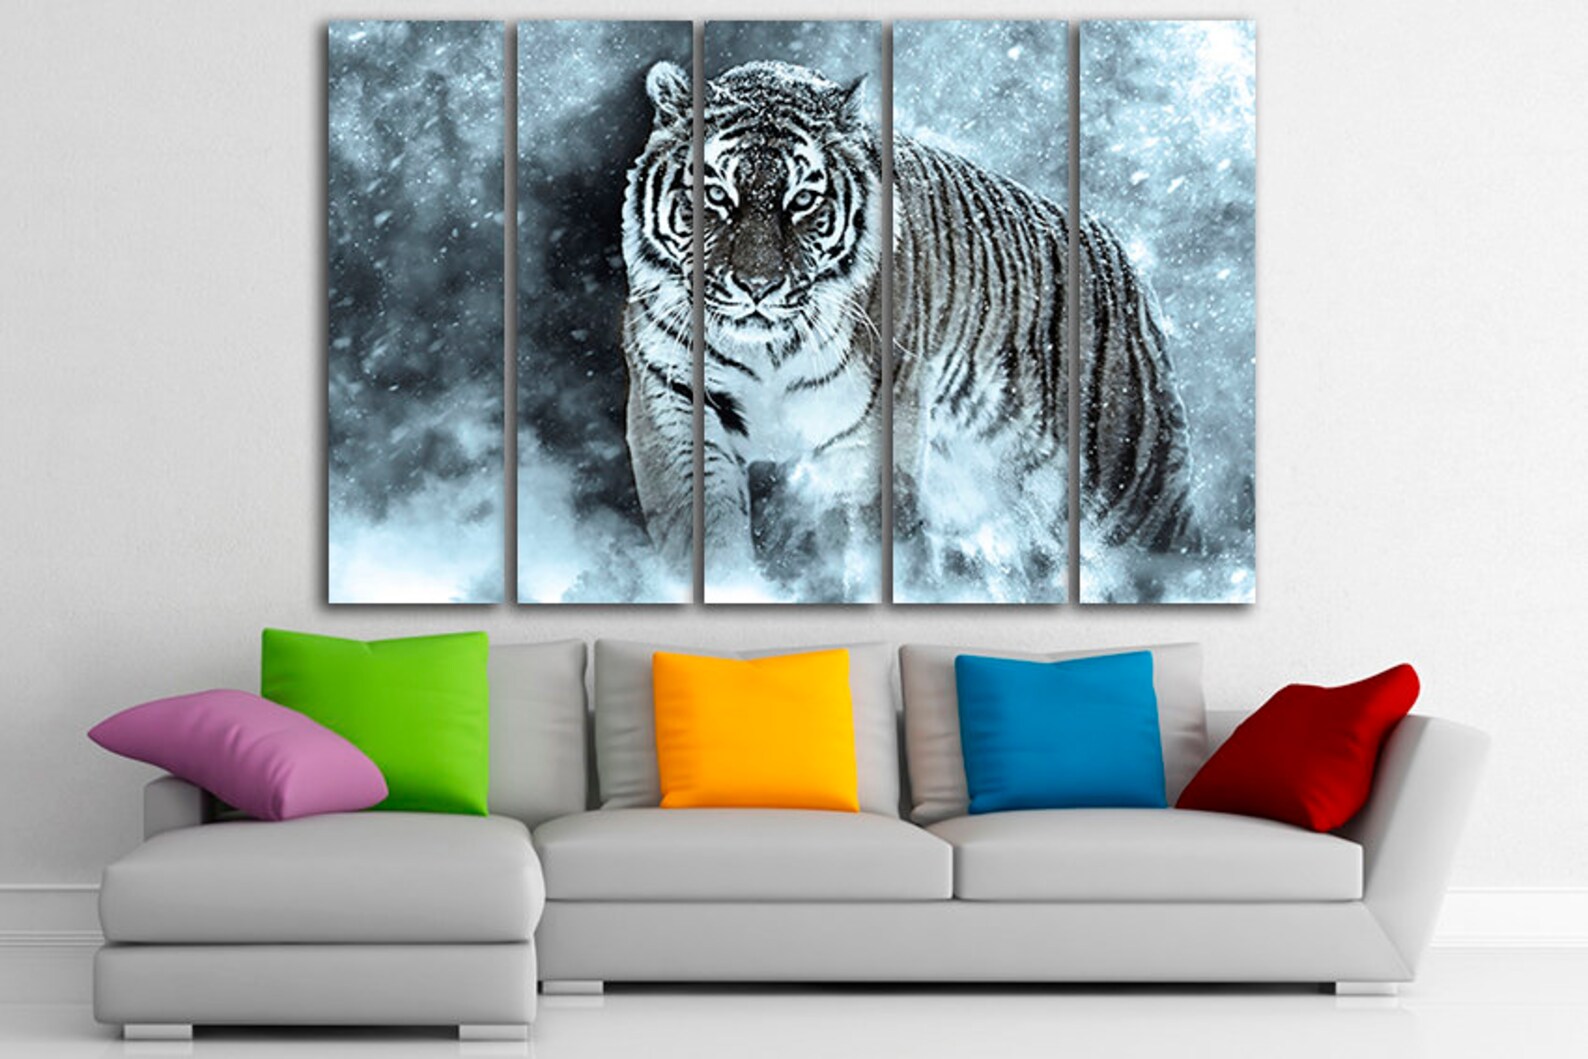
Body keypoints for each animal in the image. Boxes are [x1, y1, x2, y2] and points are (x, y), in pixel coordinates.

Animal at [622, 58, 1197, 603]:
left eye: (802, 200)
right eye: (716, 194)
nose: (757, 285)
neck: (770, 350)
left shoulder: (868, 437)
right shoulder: (673, 408)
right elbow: (705, 537)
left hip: (1131, 492)